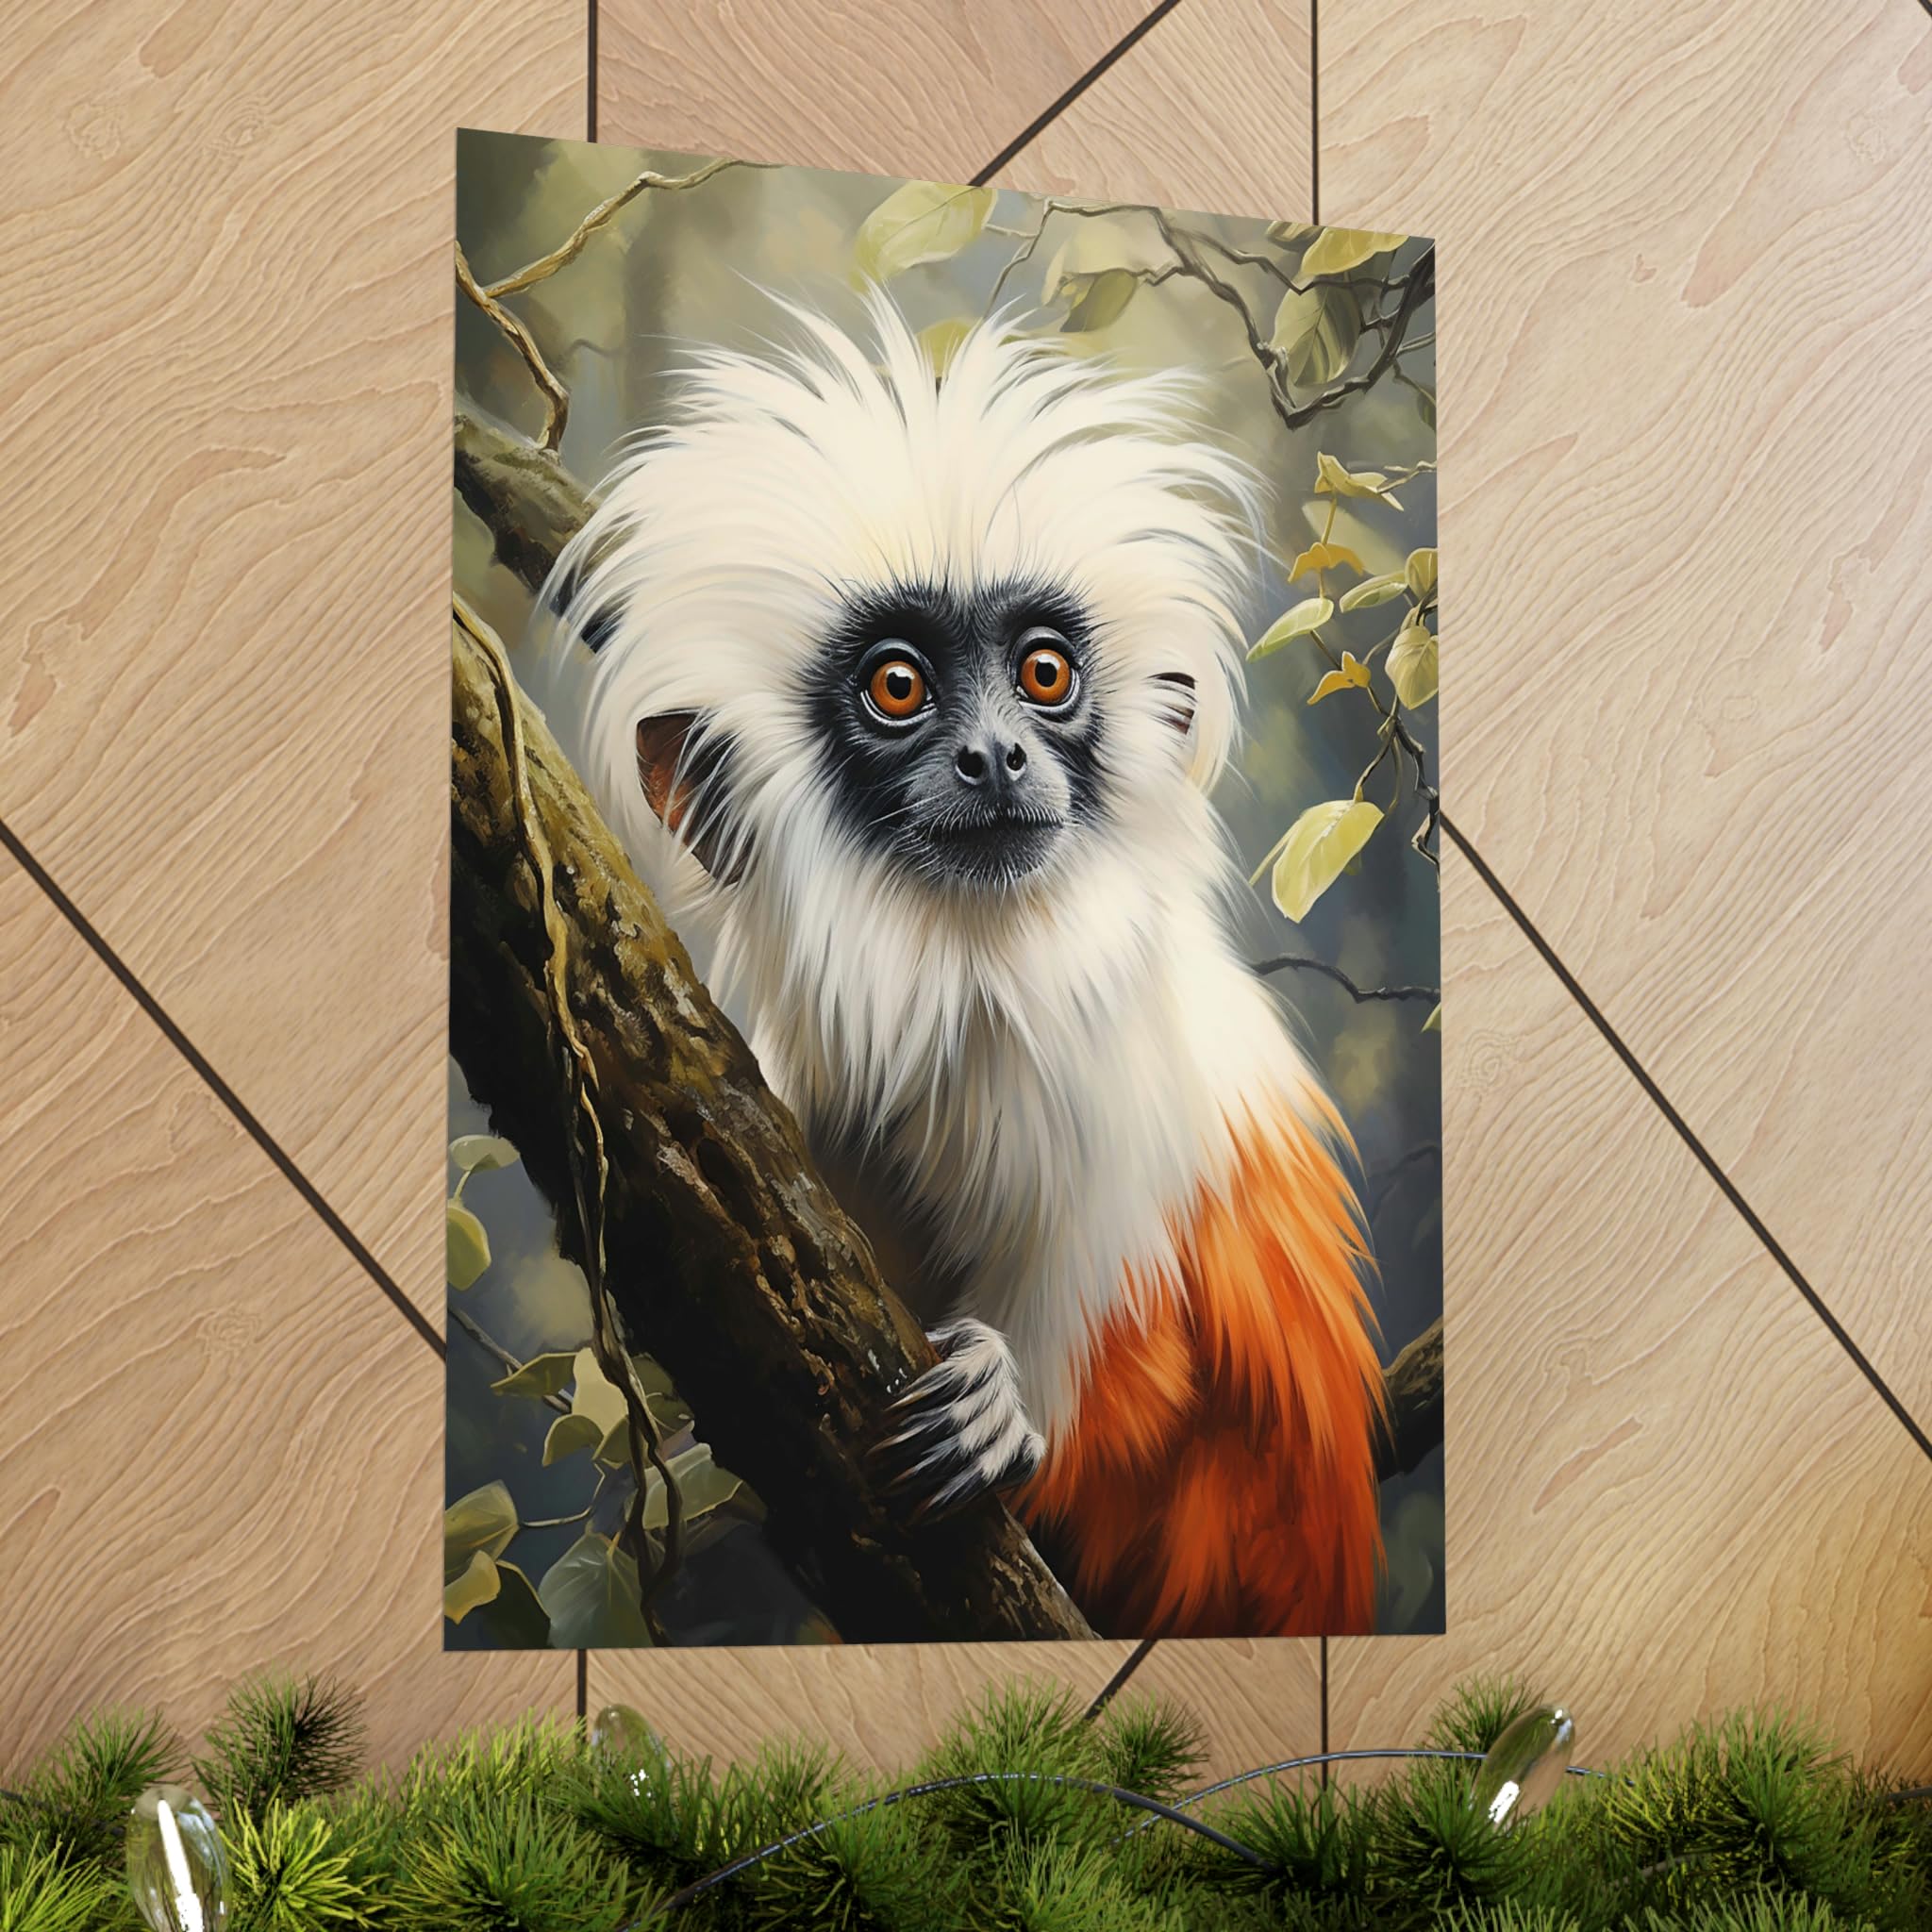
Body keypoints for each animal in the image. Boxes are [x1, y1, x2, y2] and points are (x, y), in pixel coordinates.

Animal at [528, 290, 1388, 1638]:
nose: (994, 756)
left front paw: (1004, 1415)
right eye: (898, 686)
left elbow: (1134, 1376)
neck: (958, 970)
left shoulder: (1089, 1083)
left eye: (1042, 674)